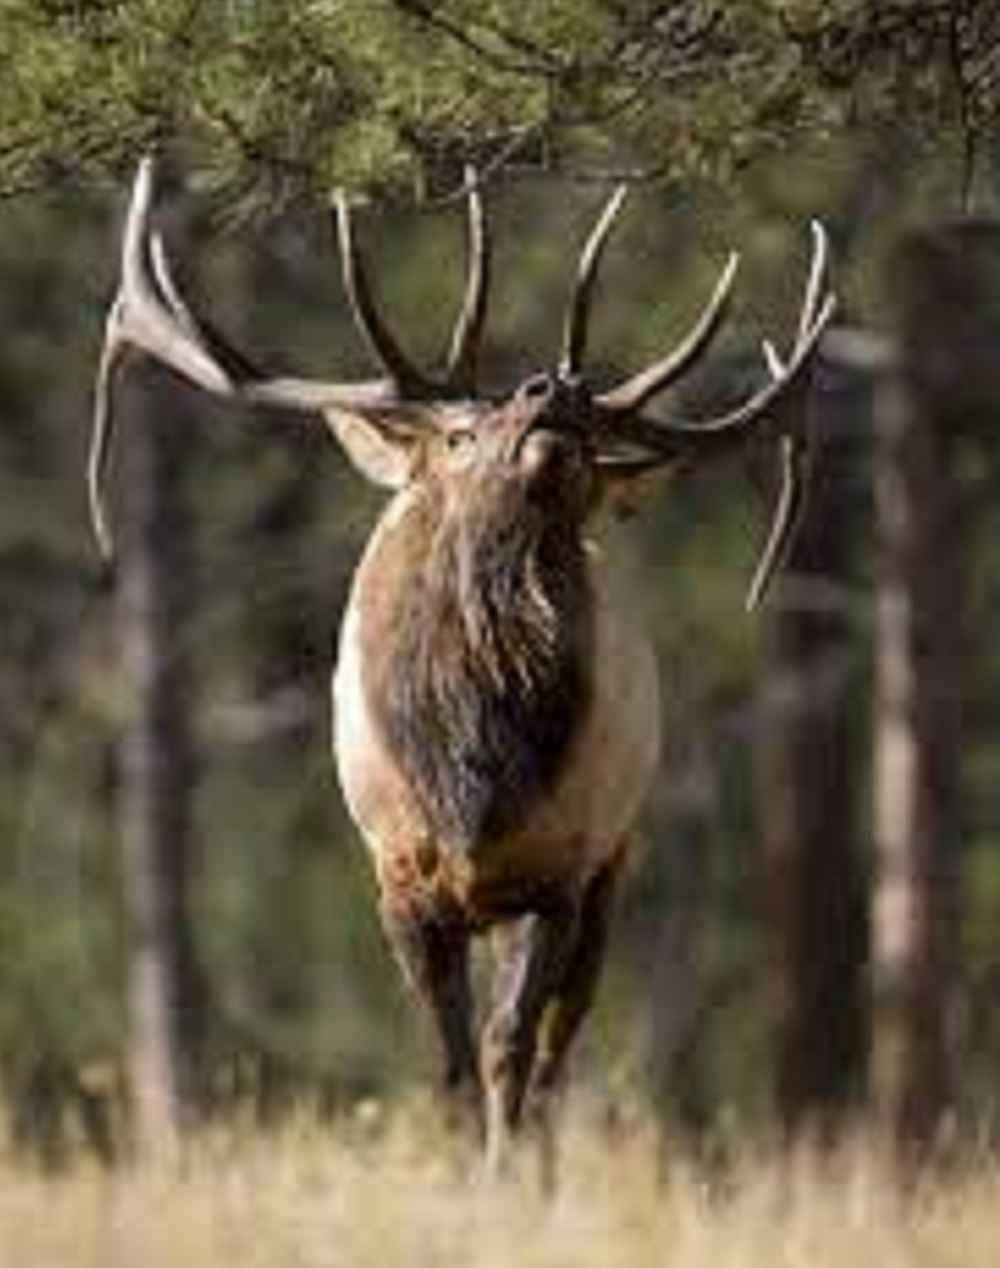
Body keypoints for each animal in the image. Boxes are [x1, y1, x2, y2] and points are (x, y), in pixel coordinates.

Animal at [88, 158, 835, 1183]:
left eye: (592, 461)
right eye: (457, 437)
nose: (556, 388)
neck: (472, 776)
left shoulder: (560, 874)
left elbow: (507, 1047)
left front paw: (504, 1174)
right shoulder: (400, 874)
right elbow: (442, 1058)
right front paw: (449, 1165)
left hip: (616, 859)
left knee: (561, 1043)